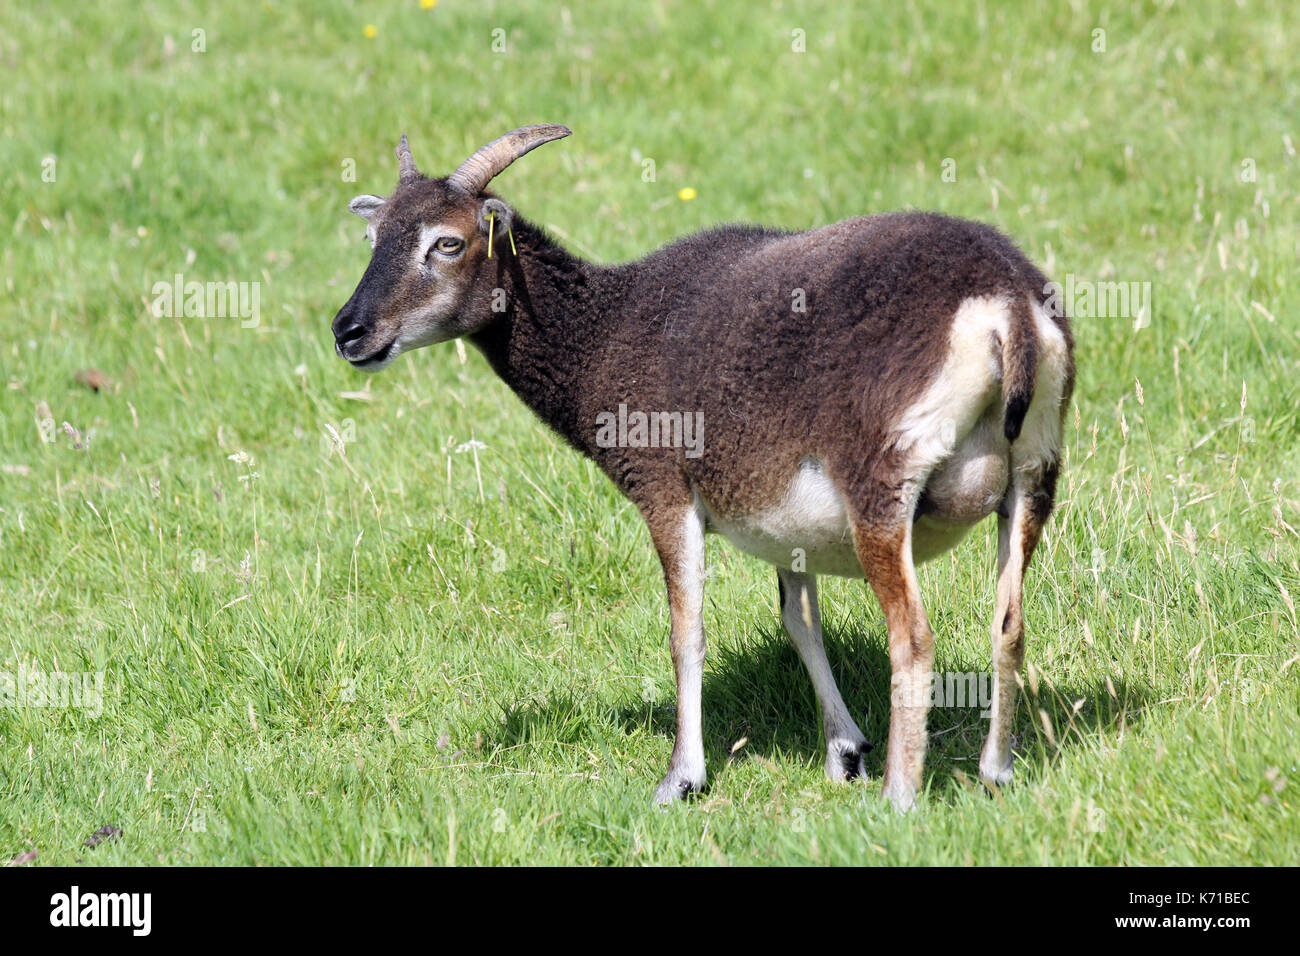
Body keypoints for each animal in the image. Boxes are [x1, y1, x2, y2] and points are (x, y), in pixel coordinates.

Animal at [332, 125, 1075, 810]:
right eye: (374, 239)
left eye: (448, 243)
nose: (349, 331)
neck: (605, 335)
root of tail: (1005, 304)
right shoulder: (784, 522)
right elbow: (800, 623)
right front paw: (844, 752)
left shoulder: (663, 488)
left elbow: (686, 632)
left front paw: (678, 780)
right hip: (1034, 475)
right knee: (1009, 623)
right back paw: (996, 773)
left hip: (882, 489)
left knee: (914, 636)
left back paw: (899, 797)